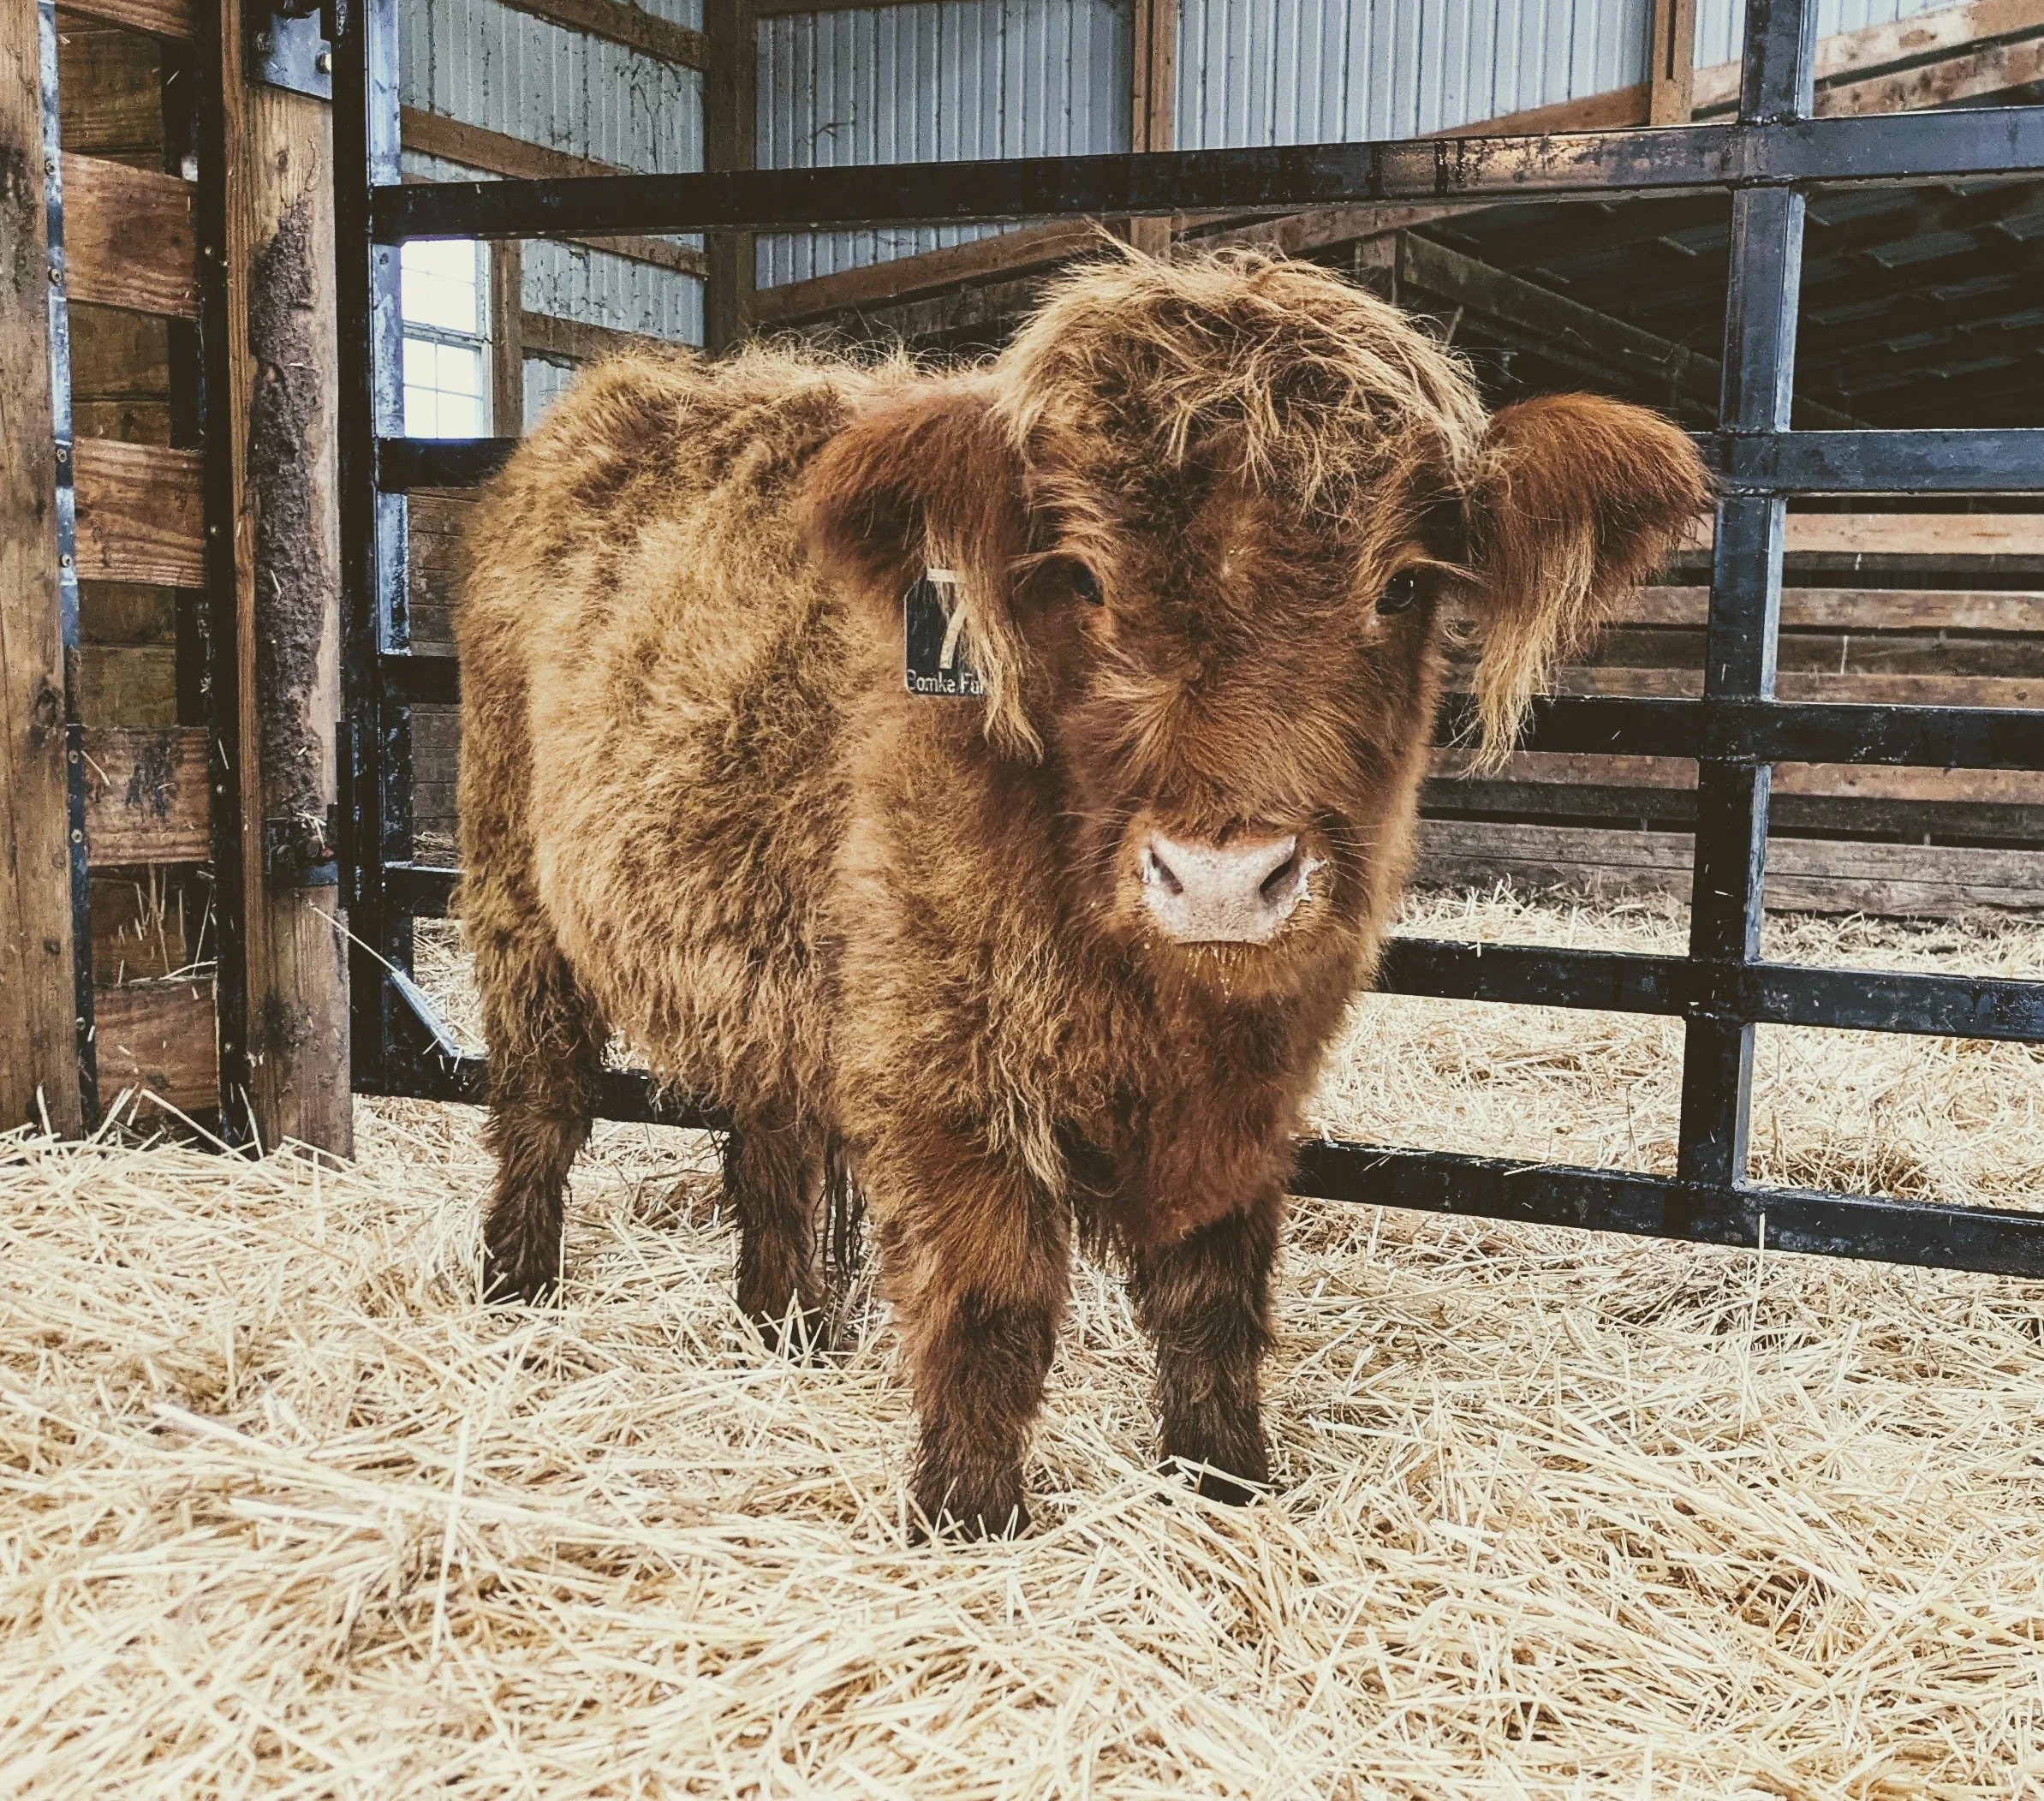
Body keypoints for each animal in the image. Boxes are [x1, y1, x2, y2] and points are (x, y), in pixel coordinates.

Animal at [455, 249, 1709, 1537]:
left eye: (1401, 585)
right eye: (1078, 577)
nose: (1221, 879)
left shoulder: (1250, 1081)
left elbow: (1213, 1297)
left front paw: (1223, 1478)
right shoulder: (942, 1067)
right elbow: (989, 1302)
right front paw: (970, 1516)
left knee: (766, 1128)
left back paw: (781, 1329)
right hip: (515, 889)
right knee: (543, 1095)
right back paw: (516, 1288)